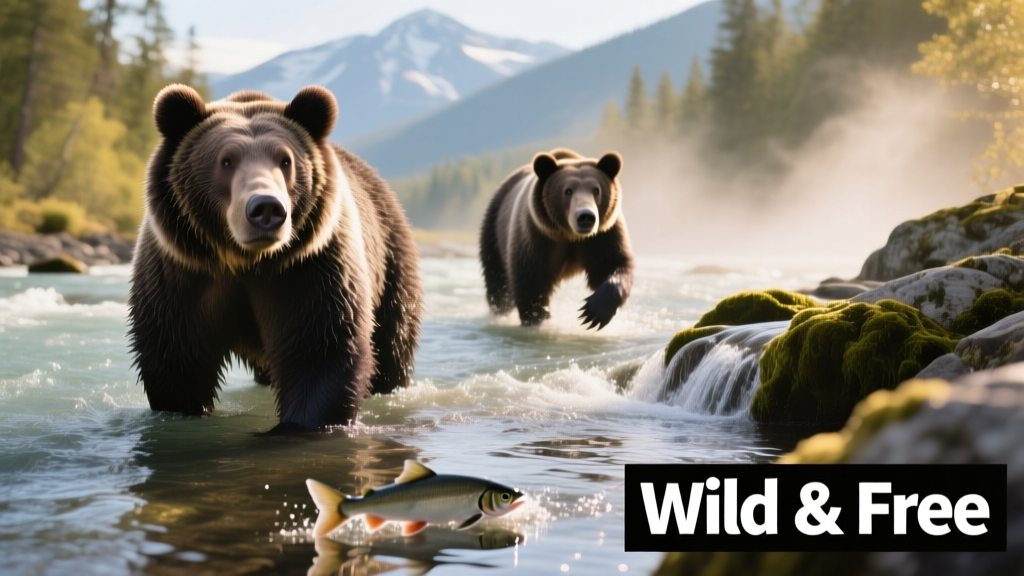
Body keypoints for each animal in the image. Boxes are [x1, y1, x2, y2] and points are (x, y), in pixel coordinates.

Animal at [128, 84, 422, 430]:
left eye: (285, 160)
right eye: (226, 160)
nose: (266, 207)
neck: (246, 260)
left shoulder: (311, 269)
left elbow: (320, 352)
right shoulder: (181, 273)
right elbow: (175, 356)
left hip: (390, 263)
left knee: (392, 345)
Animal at [479, 148, 634, 329]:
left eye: (596, 190)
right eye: (568, 190)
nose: (586, 216)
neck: (570, 235)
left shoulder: (603, 235)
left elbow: (613, 265)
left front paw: (593, 312)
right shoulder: (536, 237)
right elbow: (531, 281)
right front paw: (537, 319)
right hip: (494, 229)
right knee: (498, 282)